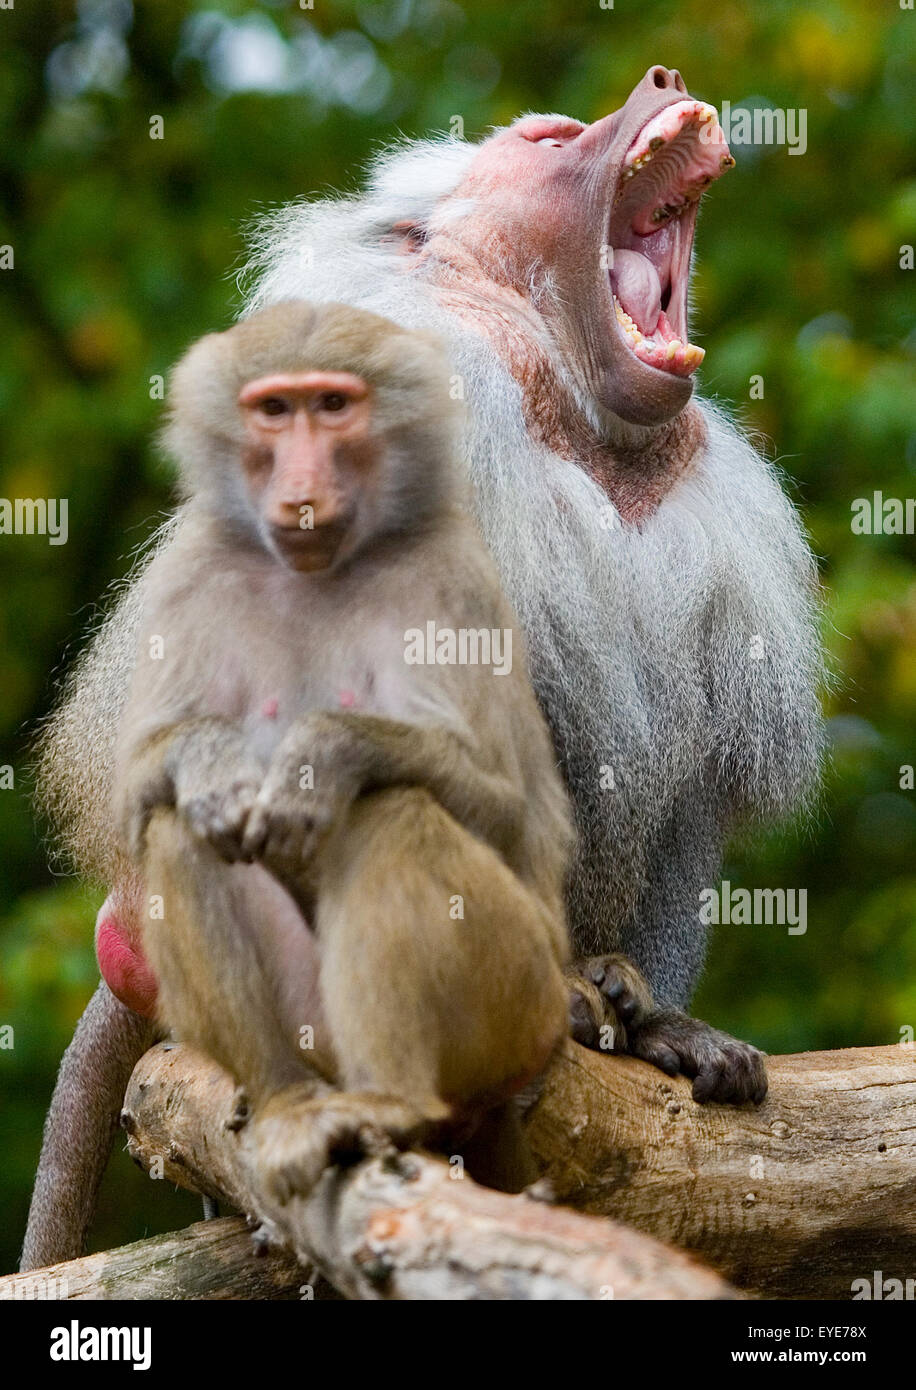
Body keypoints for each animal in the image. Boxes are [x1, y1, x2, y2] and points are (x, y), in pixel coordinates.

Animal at [106, 299, 578, 1200]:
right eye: (273, 410)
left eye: (332, 406)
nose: (301, 491)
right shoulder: (191, 570)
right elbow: (140, 787)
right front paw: (216, 768)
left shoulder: (452, 577)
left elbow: (502, 806)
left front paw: (319, 757)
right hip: (319, 1033)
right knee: (180, 831)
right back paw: (289, 1105)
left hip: (528, 1006)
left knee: (392, 813)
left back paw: (395, 1102)